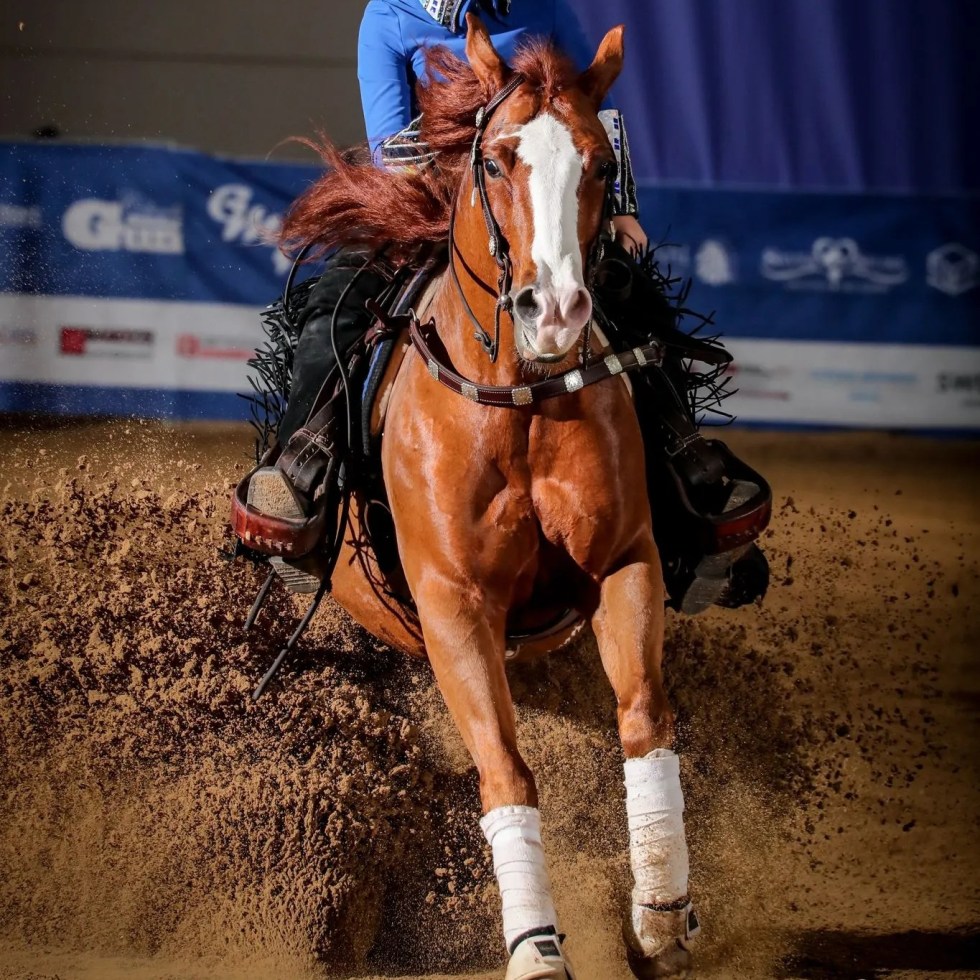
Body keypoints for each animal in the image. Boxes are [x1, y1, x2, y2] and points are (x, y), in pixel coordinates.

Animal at [266, 16, 696, 979]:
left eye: (601, 165)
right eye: (497, 161)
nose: (559, 309)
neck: (519, 398)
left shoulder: (626, 563)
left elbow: (645, 721)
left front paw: (660, 908)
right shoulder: (452, 604)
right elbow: (506, 771)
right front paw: (537, 947)